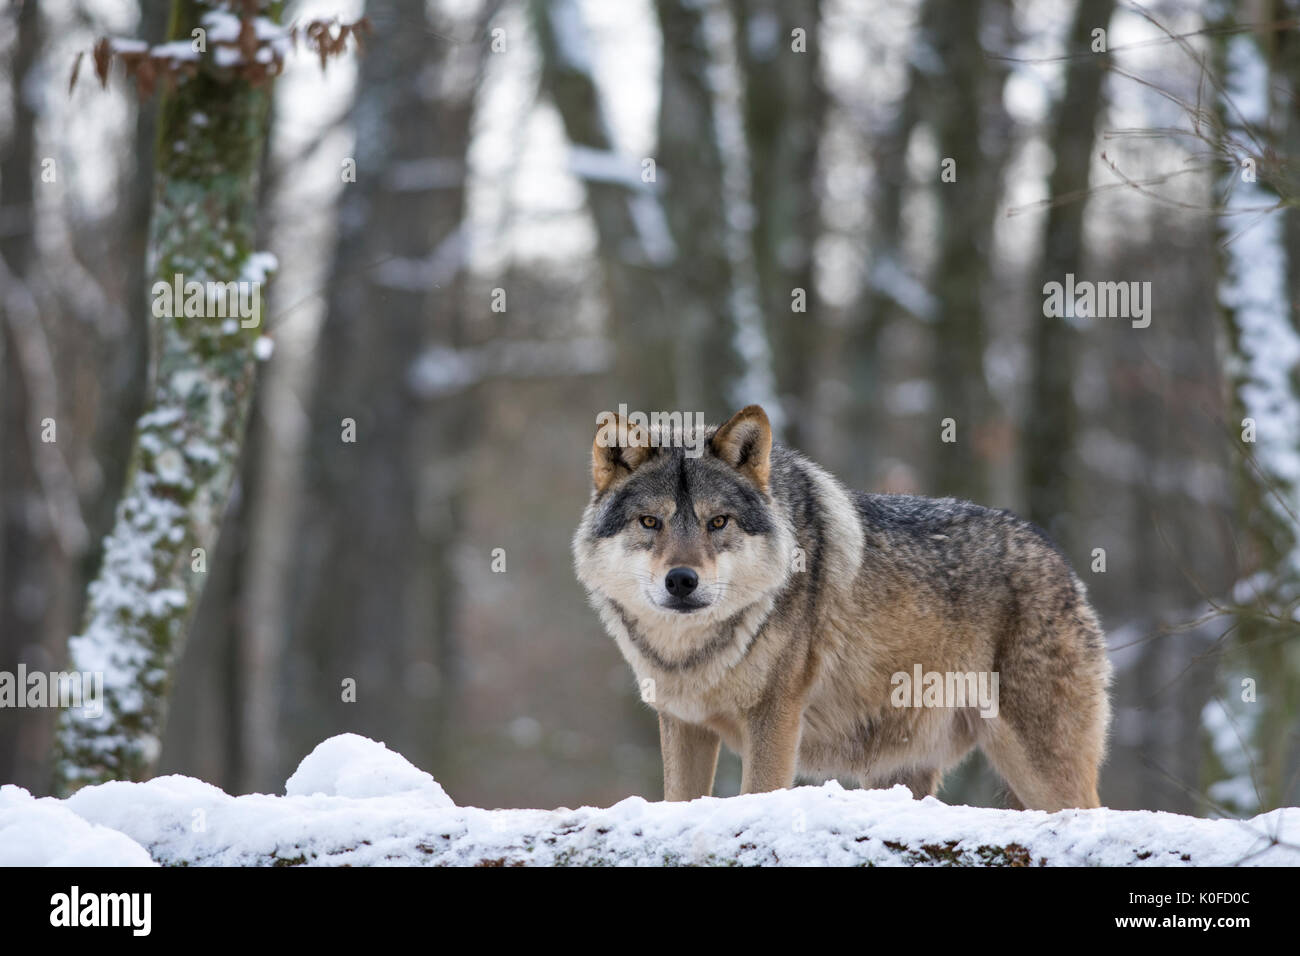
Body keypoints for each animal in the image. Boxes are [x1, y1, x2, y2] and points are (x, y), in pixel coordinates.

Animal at [572, 405, 1112, 810]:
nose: (682, 581)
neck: (693, 650)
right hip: (901, 771)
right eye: (650, 522)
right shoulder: (683, 723)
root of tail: (1057, 558)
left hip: (1041, 769)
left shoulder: (776, 717)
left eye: (717, 522)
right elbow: (678, 801)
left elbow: (759, 792)